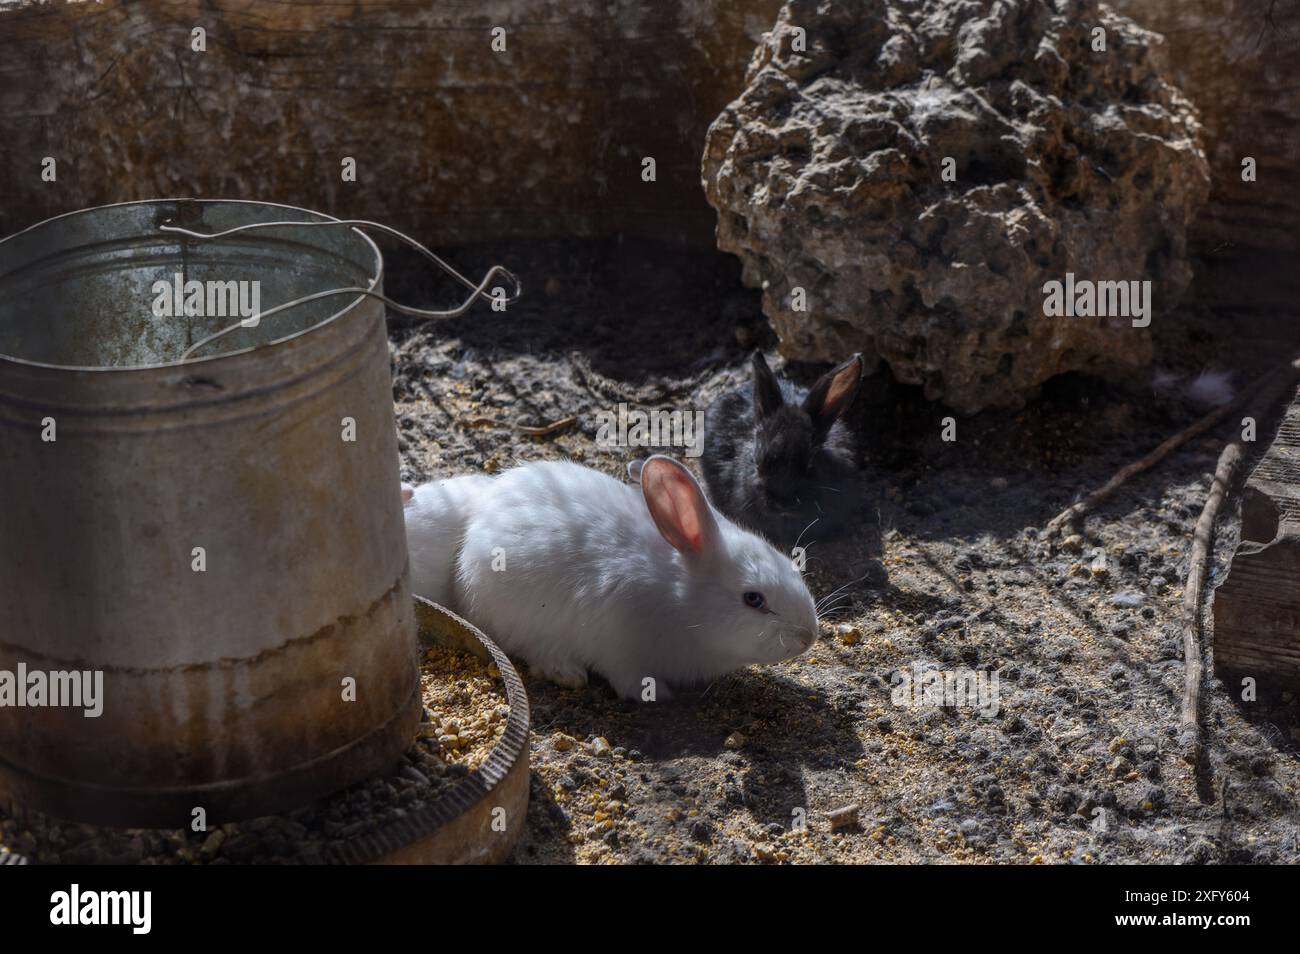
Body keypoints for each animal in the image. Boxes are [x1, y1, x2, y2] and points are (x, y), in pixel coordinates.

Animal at [402, 455, 819, 700]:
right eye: (754, 599)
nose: (808, 636)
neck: (682, 601)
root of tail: (478, 524)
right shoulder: (618, 646)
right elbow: (628, 678)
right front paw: (661, 695)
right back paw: (567, 673)